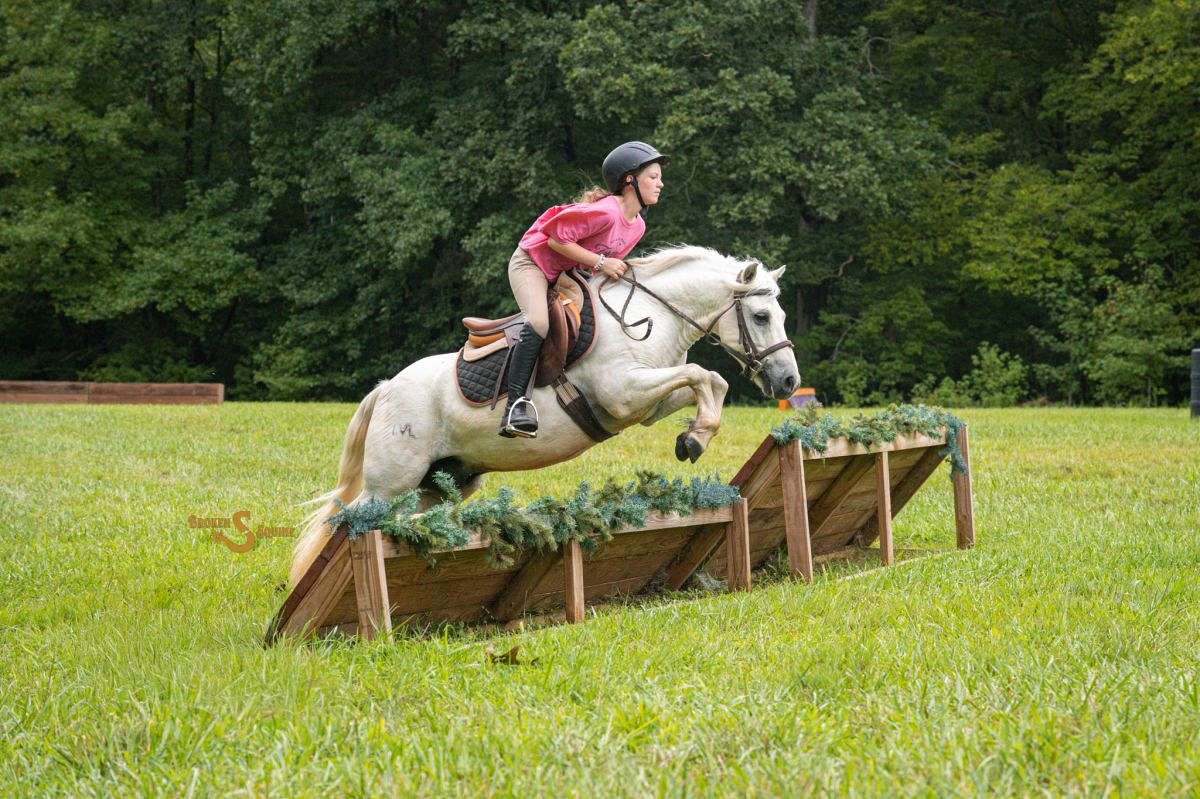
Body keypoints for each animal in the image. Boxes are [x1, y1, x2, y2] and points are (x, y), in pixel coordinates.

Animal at [288, 245, 801, 588]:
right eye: (760, 316)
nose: (788, 383)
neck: (650, 316)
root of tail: (385, 389)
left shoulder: (646, 403)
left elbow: (709, 383)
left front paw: (694, 437)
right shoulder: (622, 392)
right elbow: (702, 375)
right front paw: (694, 439)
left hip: (436, 485)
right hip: (391, 482)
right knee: (347, 521)